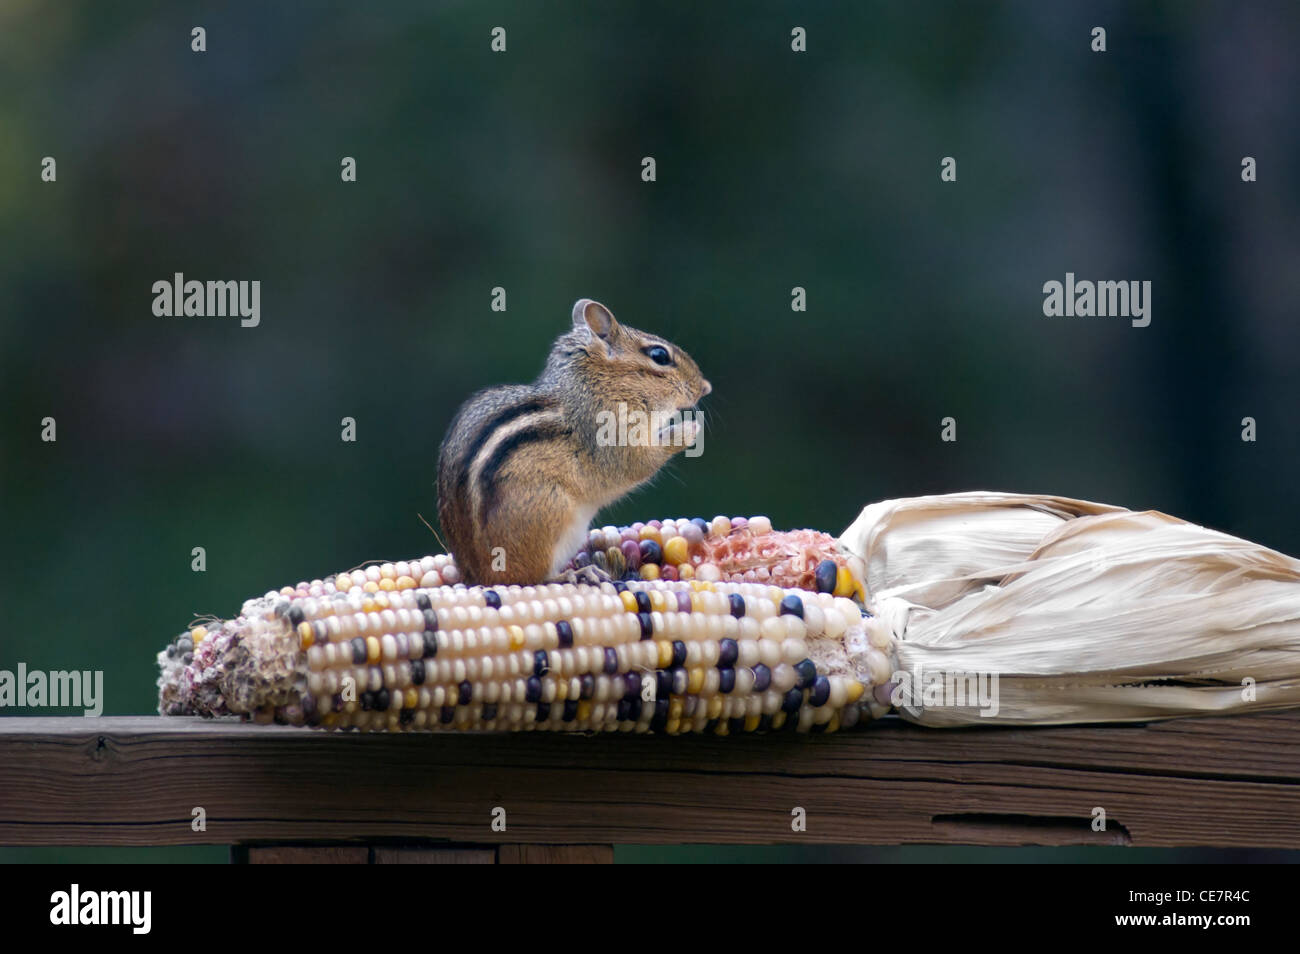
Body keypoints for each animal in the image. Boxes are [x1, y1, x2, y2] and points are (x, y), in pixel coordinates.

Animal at [437, 298, 711, 585]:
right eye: (659, 356)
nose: (706, 387)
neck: (599, 387)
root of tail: (477, 577)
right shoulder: (611, 436)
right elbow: (639, 463)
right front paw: (688, 429)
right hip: (550, 516)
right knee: (534, 578)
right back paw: (578, 572)